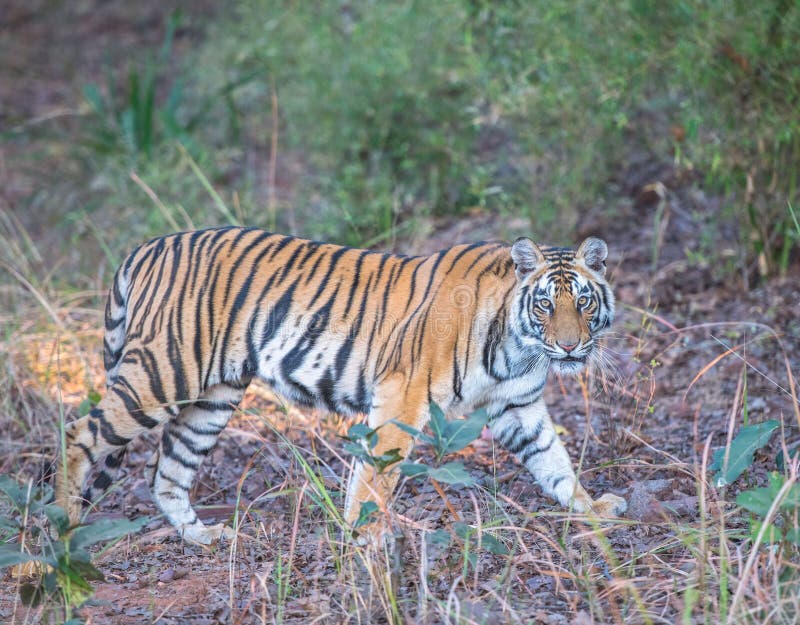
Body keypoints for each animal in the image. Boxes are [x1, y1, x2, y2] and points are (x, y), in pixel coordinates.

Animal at [55, 226, 626, 544]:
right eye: (545, 303)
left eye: (584, 301)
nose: (570, 348)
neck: (518, 347)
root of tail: (147, 246)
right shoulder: (403, 394)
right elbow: (377, 475)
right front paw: (365, 535)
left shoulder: (518, 408)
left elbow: (553, 460)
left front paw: (591, 508)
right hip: (161, 373)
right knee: (80, 433)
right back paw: (59, 526)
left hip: (211, 400)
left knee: (169, 470)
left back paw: (200, 536)